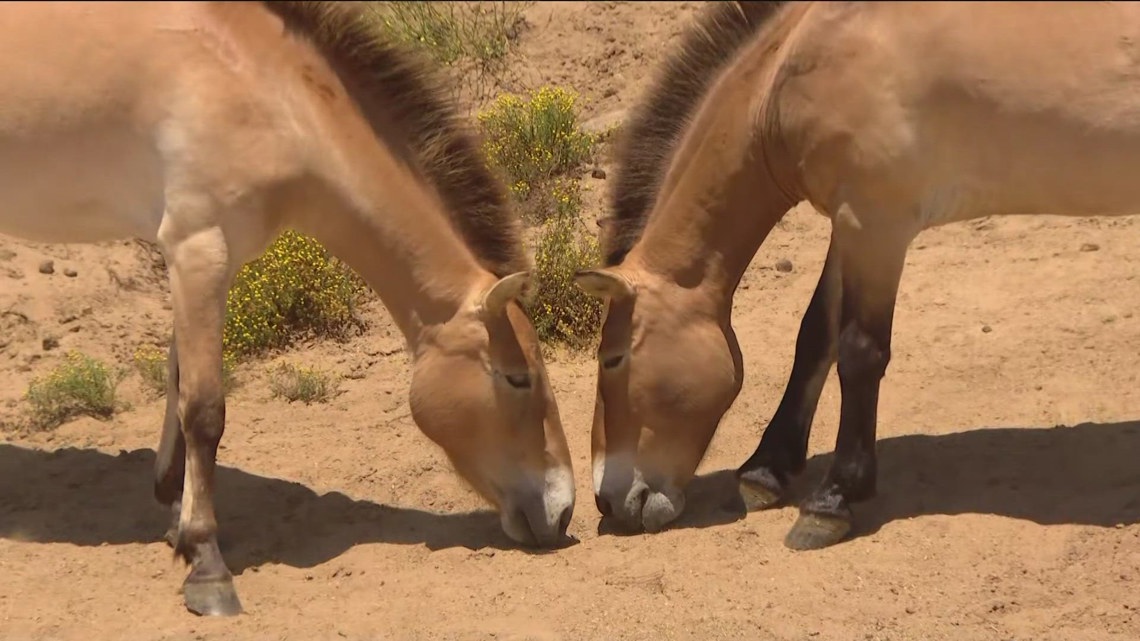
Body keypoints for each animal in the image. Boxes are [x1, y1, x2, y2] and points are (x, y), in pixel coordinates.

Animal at [0, 1, 575, 616]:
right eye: (517, 378)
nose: (563, 510)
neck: (255, 85)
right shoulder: (198, 248)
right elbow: (203, 410)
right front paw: (206, 563)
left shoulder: (205, 262)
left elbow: (179, 385)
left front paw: (177, 519)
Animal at [576, 0, 1140, 551]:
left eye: (613, 358)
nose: (607, 500)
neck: (797, 66)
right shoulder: (847, 226)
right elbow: (814, 337)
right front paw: (767, 471)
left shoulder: (876, 227)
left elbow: (860, 353)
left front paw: (833, 499)